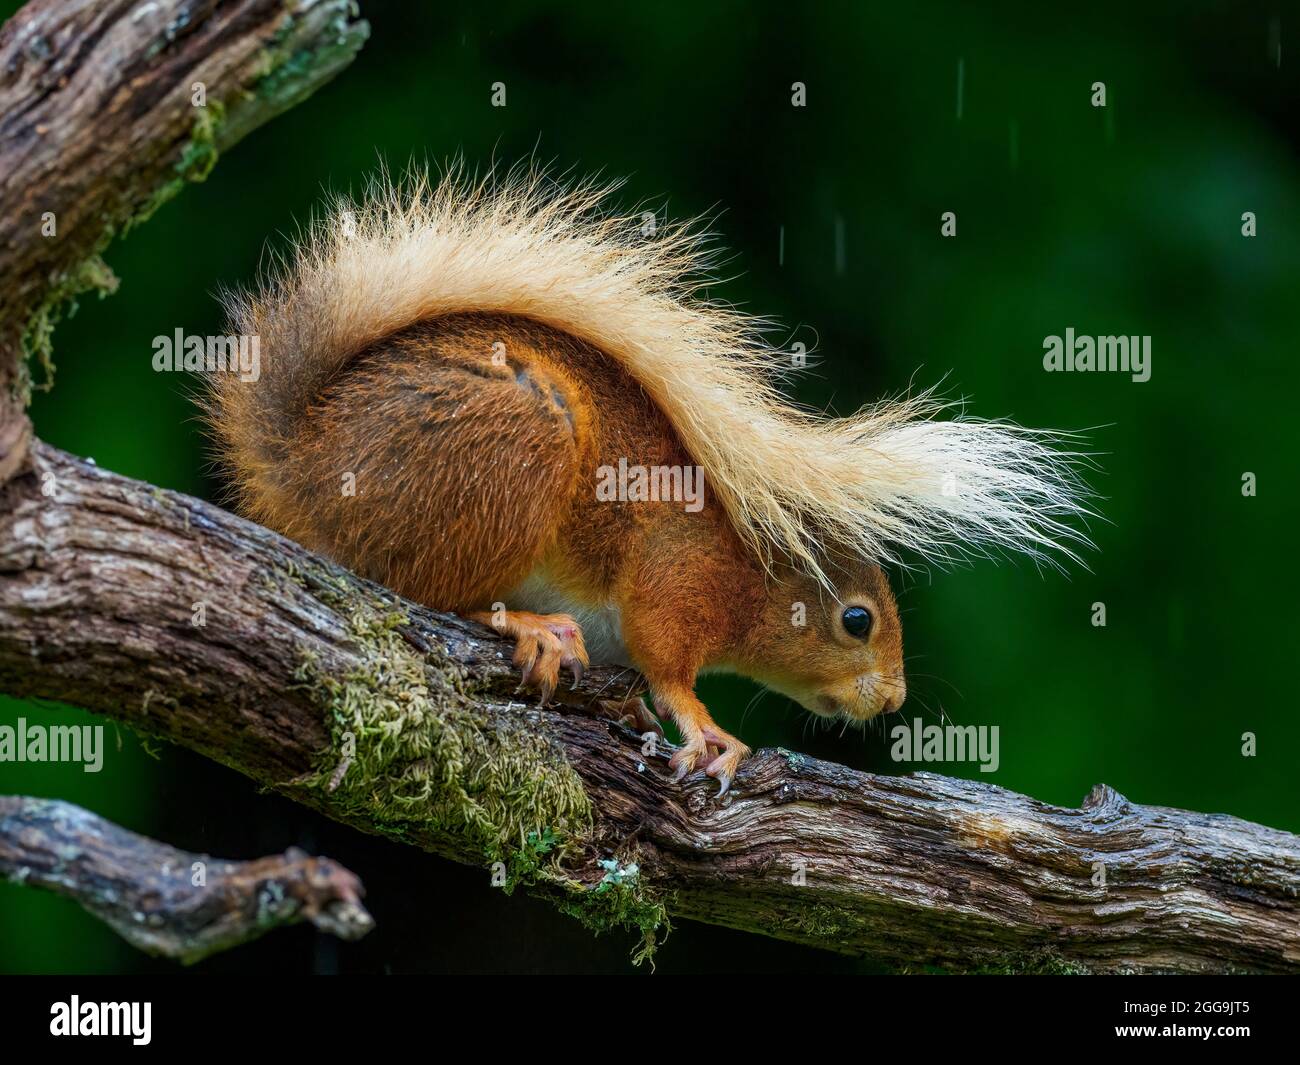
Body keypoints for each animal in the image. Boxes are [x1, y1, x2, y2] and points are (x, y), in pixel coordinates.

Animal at [206, 166, 1090, 795]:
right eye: (857, 620)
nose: (895, 701)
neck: (744, 572)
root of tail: (302, 465)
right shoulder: (675, 579)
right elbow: (668, 663)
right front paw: (706, 728)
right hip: (509, 455)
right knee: (417, 585)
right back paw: (529, 625)